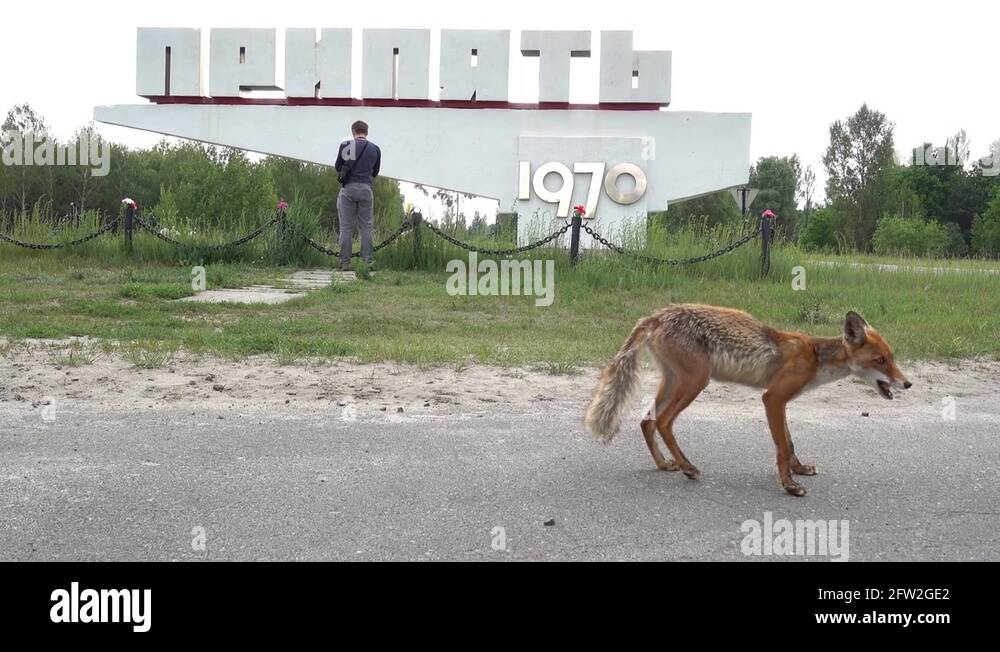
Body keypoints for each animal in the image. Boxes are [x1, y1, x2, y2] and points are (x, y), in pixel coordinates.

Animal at [585, 304, 911, 496]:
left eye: (892, 358)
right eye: (880, 360)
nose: (907, 383)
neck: (815, 358)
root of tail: (660, 313)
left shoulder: (781, 401)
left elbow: (790, 443)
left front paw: (799, 470)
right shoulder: (773, 398)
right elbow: (782, 447)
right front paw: (789, 485)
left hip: (673, 381)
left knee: (646, 420)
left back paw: (665, 464)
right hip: (695, 382)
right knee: (664, 422)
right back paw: (688, 467)